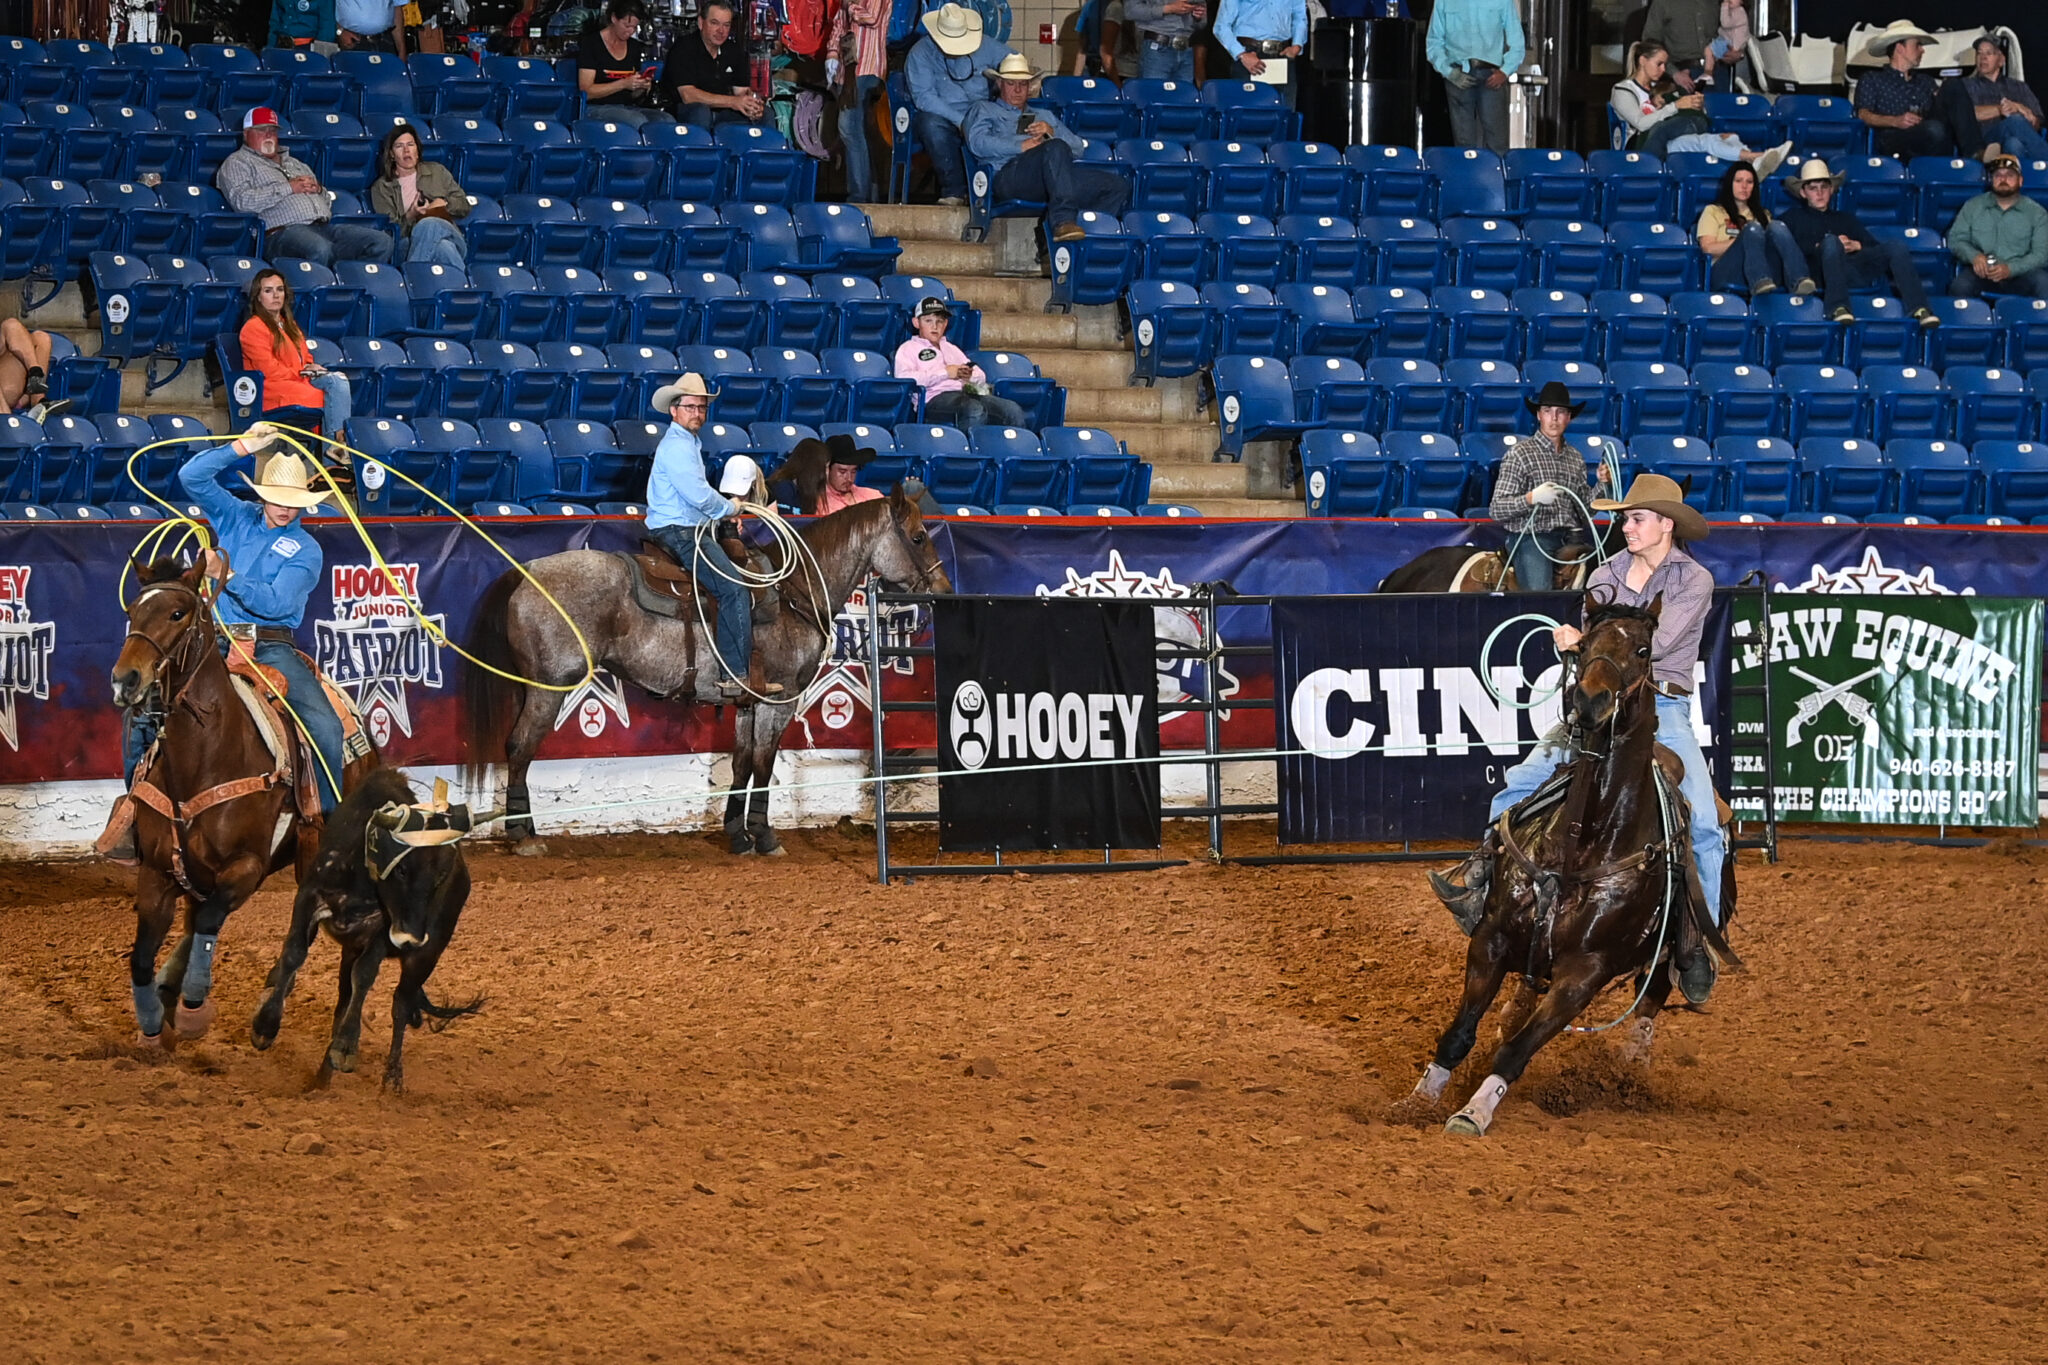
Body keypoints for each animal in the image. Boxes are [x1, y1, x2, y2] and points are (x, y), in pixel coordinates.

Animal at [108, 559, 380, 1047]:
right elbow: (141, 955)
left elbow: (211, 921)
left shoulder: (246, 867)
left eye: (178, 612)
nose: (126, 681)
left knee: (315, 939)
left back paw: (315, 1029)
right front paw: (153, 1022)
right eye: (132, 611)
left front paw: (194, 1007)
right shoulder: (158, 873)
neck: (204, 758)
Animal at [465, 492, 951, 855]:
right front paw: (766, 836)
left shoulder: (748, 701)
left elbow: (741, 762)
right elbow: (764, 762)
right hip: (550, 687)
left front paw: (737, 834)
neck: (793, 592)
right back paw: (522, 837)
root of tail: (526, 572)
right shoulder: (782, 698)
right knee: (521, 747)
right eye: (918, 536)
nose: (943, 591)